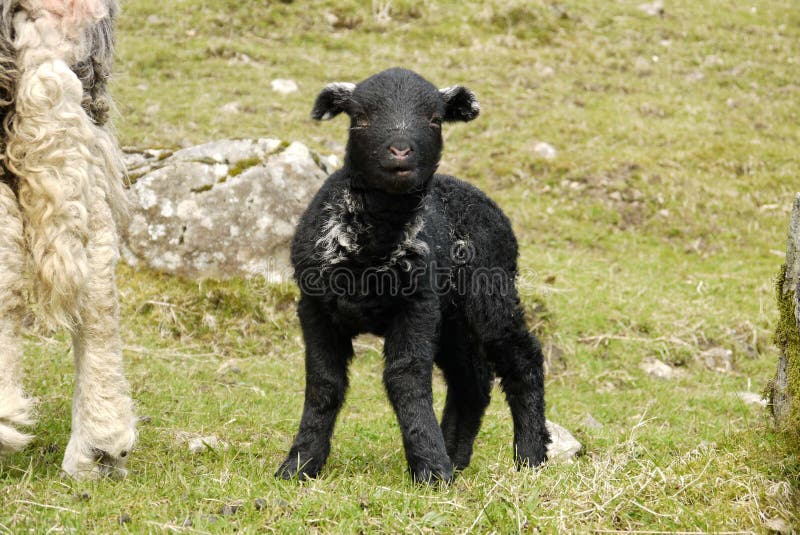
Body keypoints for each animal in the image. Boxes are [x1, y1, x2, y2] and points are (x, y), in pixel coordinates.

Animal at [276, 68, 550, 483]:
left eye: (435, 119)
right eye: (360, 118)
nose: (401, 151)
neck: (372, 246)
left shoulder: (418, 305)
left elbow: (406, 378)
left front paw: (431, 470)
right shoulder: (315, 307)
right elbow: (324, 383)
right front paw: (300, 464)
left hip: (490, 294)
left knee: (522, 357)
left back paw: (531, 456)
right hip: (453, 318)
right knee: (471, 380)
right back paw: (456, 455)